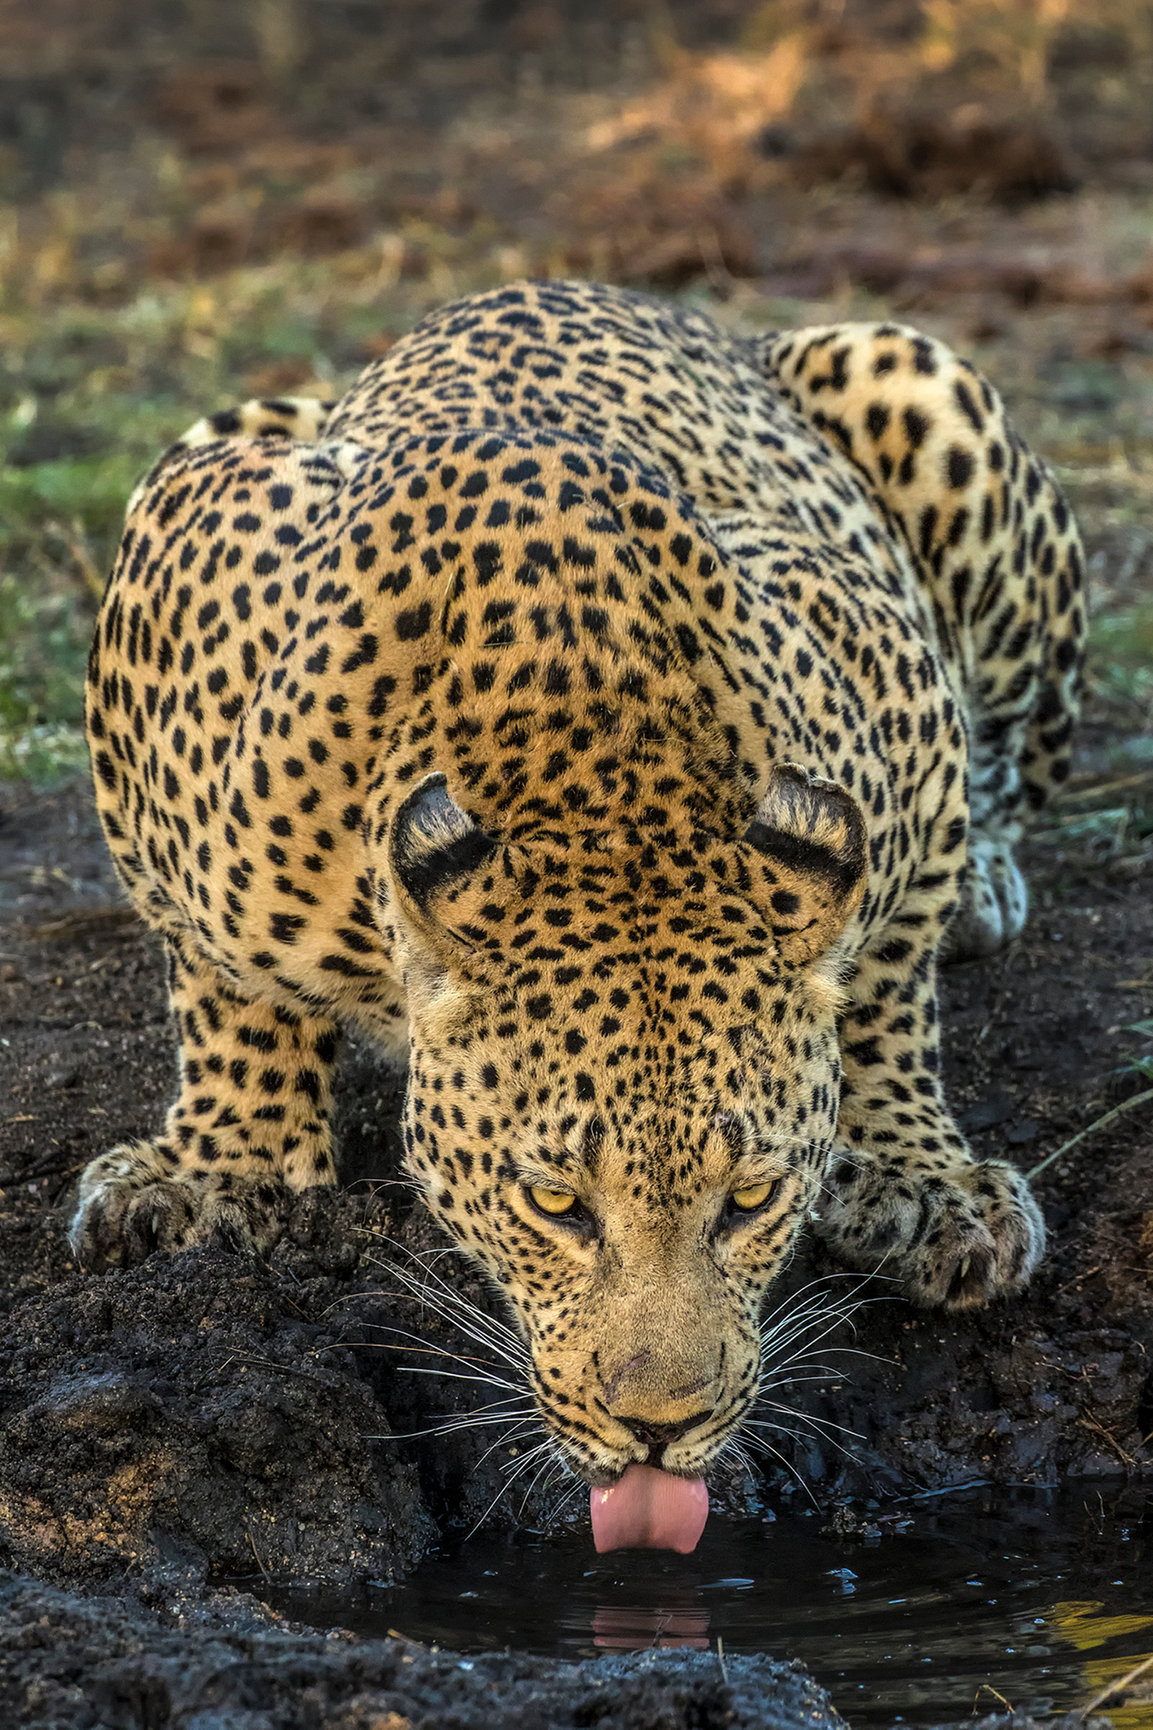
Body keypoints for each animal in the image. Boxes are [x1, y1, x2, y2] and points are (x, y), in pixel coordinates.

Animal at [71, 279, 1084, 1490]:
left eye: (749, 1199)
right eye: (554, 1204)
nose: (659, 1426)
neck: (606, 782)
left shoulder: (891, 672)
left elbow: (889, 965)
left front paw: (919, 1173)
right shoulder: (176, 546)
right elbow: (225, 981)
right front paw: (230, 1165)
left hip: (926, 394)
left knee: (1025, 758)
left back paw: (986, 885)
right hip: (246, 418)